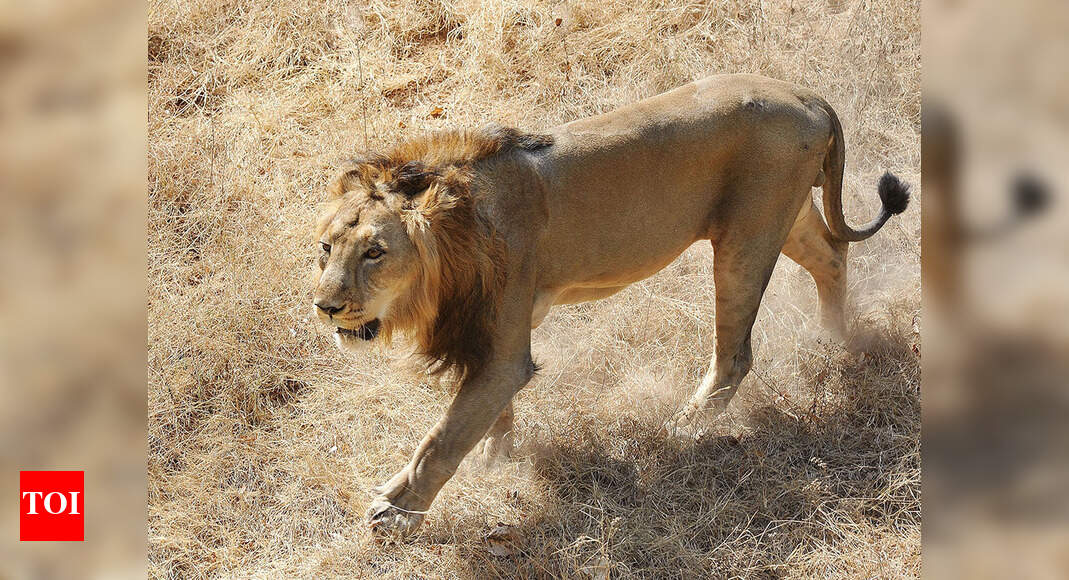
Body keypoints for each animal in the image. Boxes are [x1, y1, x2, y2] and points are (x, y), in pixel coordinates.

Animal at [312, 74, 910, 538]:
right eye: (324, 248)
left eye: (374, 252)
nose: (325, 307)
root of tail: (805, 93)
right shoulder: (493, 340)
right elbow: (482, 417)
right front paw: (495, 459)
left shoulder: (503, 348)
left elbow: (441, 438)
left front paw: (397, 512)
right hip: (784, 216)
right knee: (831, 257)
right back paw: (832, 340)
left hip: (746, 239)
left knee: (735, 355)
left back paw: (684, 426)